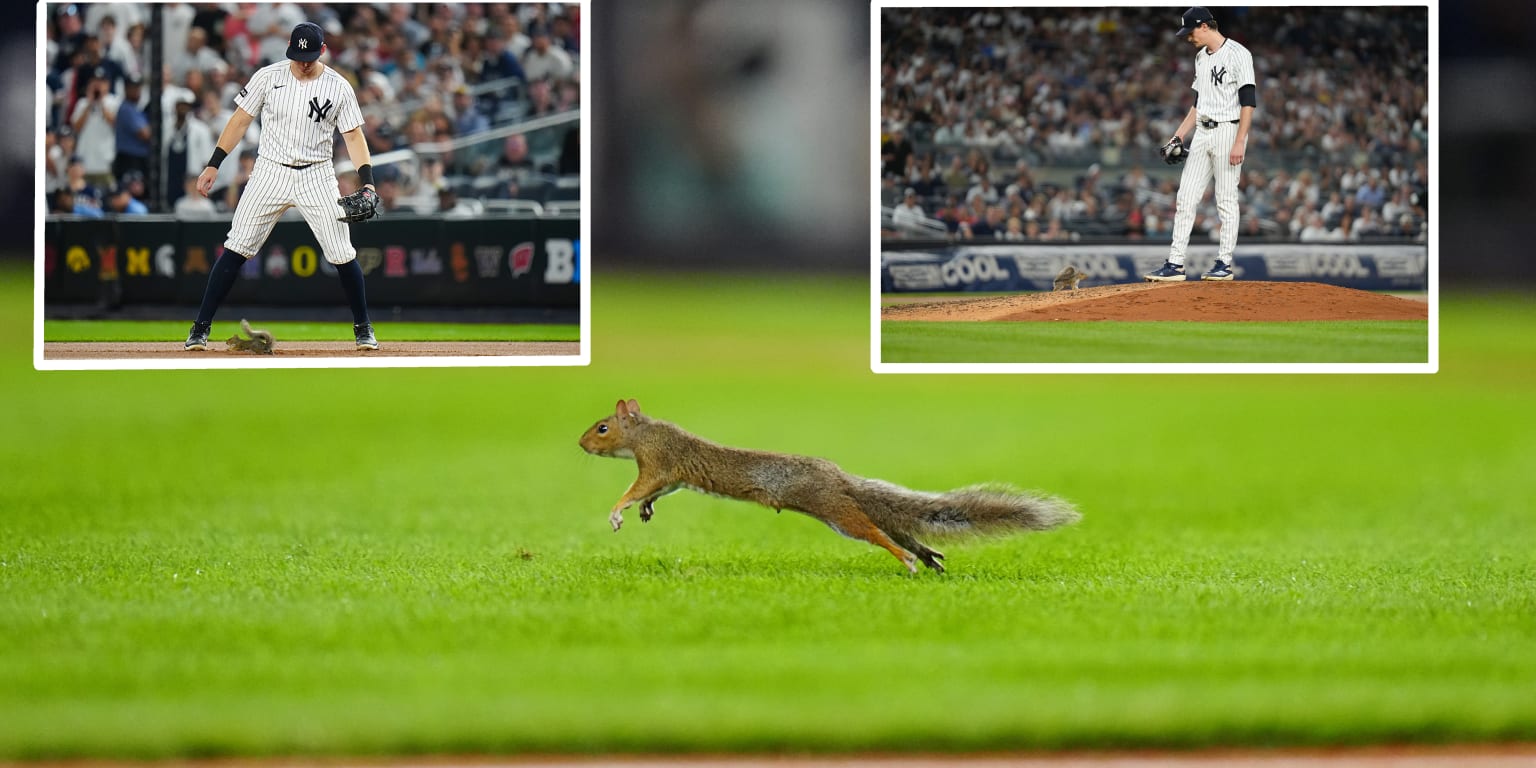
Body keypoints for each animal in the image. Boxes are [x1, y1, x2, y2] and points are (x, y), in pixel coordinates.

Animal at [579, 399, 1080, 574]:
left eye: (602, 428)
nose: (580, 443)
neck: (646, 431)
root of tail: (838, 476)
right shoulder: (672, 476)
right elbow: (657, 492)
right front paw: (646, 511)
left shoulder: (657, 464)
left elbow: (637, 488)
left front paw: (619, 512)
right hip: (847, 510)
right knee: (899, 528)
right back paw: (927, 556)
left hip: (837, 513)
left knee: (879, 534)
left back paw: (909, 562)